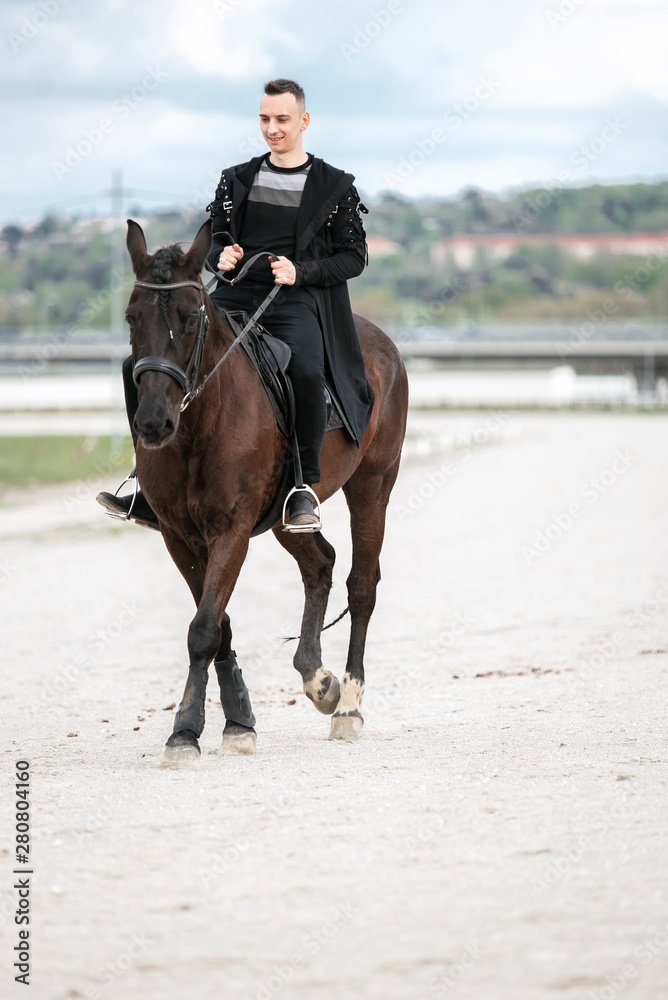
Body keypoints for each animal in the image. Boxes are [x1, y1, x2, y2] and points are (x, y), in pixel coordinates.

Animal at [123, 217, 408, 766]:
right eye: (131, 317)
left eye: (190, 318)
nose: (152, 423)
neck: (197, 425)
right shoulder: (179, 536)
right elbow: (217, 624)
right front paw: (236, 721)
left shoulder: (230, 529)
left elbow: (204, 629)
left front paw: (186, 732)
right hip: (284, 514)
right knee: (320, 564)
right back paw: (319, 681)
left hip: (373, 484)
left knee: (362, 586)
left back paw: (348, 705)